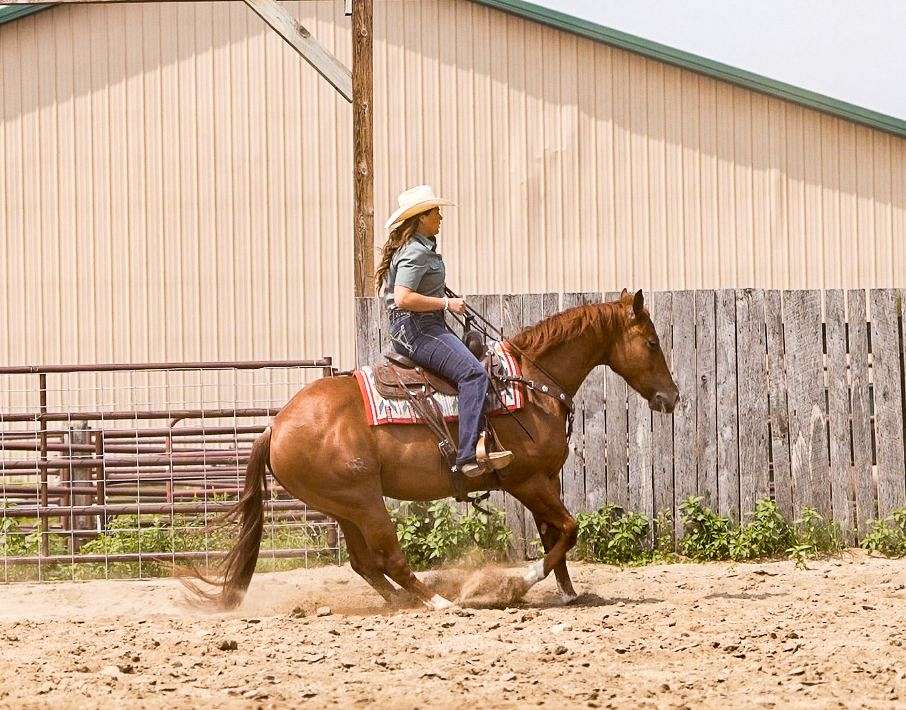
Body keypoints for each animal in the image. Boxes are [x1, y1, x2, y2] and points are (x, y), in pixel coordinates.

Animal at [183, 289, 679, 610]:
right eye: (652, 342)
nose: (671, 397)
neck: (530, 383)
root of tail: (276, 426)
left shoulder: (545, 481)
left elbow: (554, 534)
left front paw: (569, 592)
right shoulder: (526, 480)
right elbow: (569, 530)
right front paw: (520, 582)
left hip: (342, 506)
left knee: (364, 563)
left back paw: (403, 602)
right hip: (364, 501)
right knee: (388, 556)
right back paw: (437, 601)